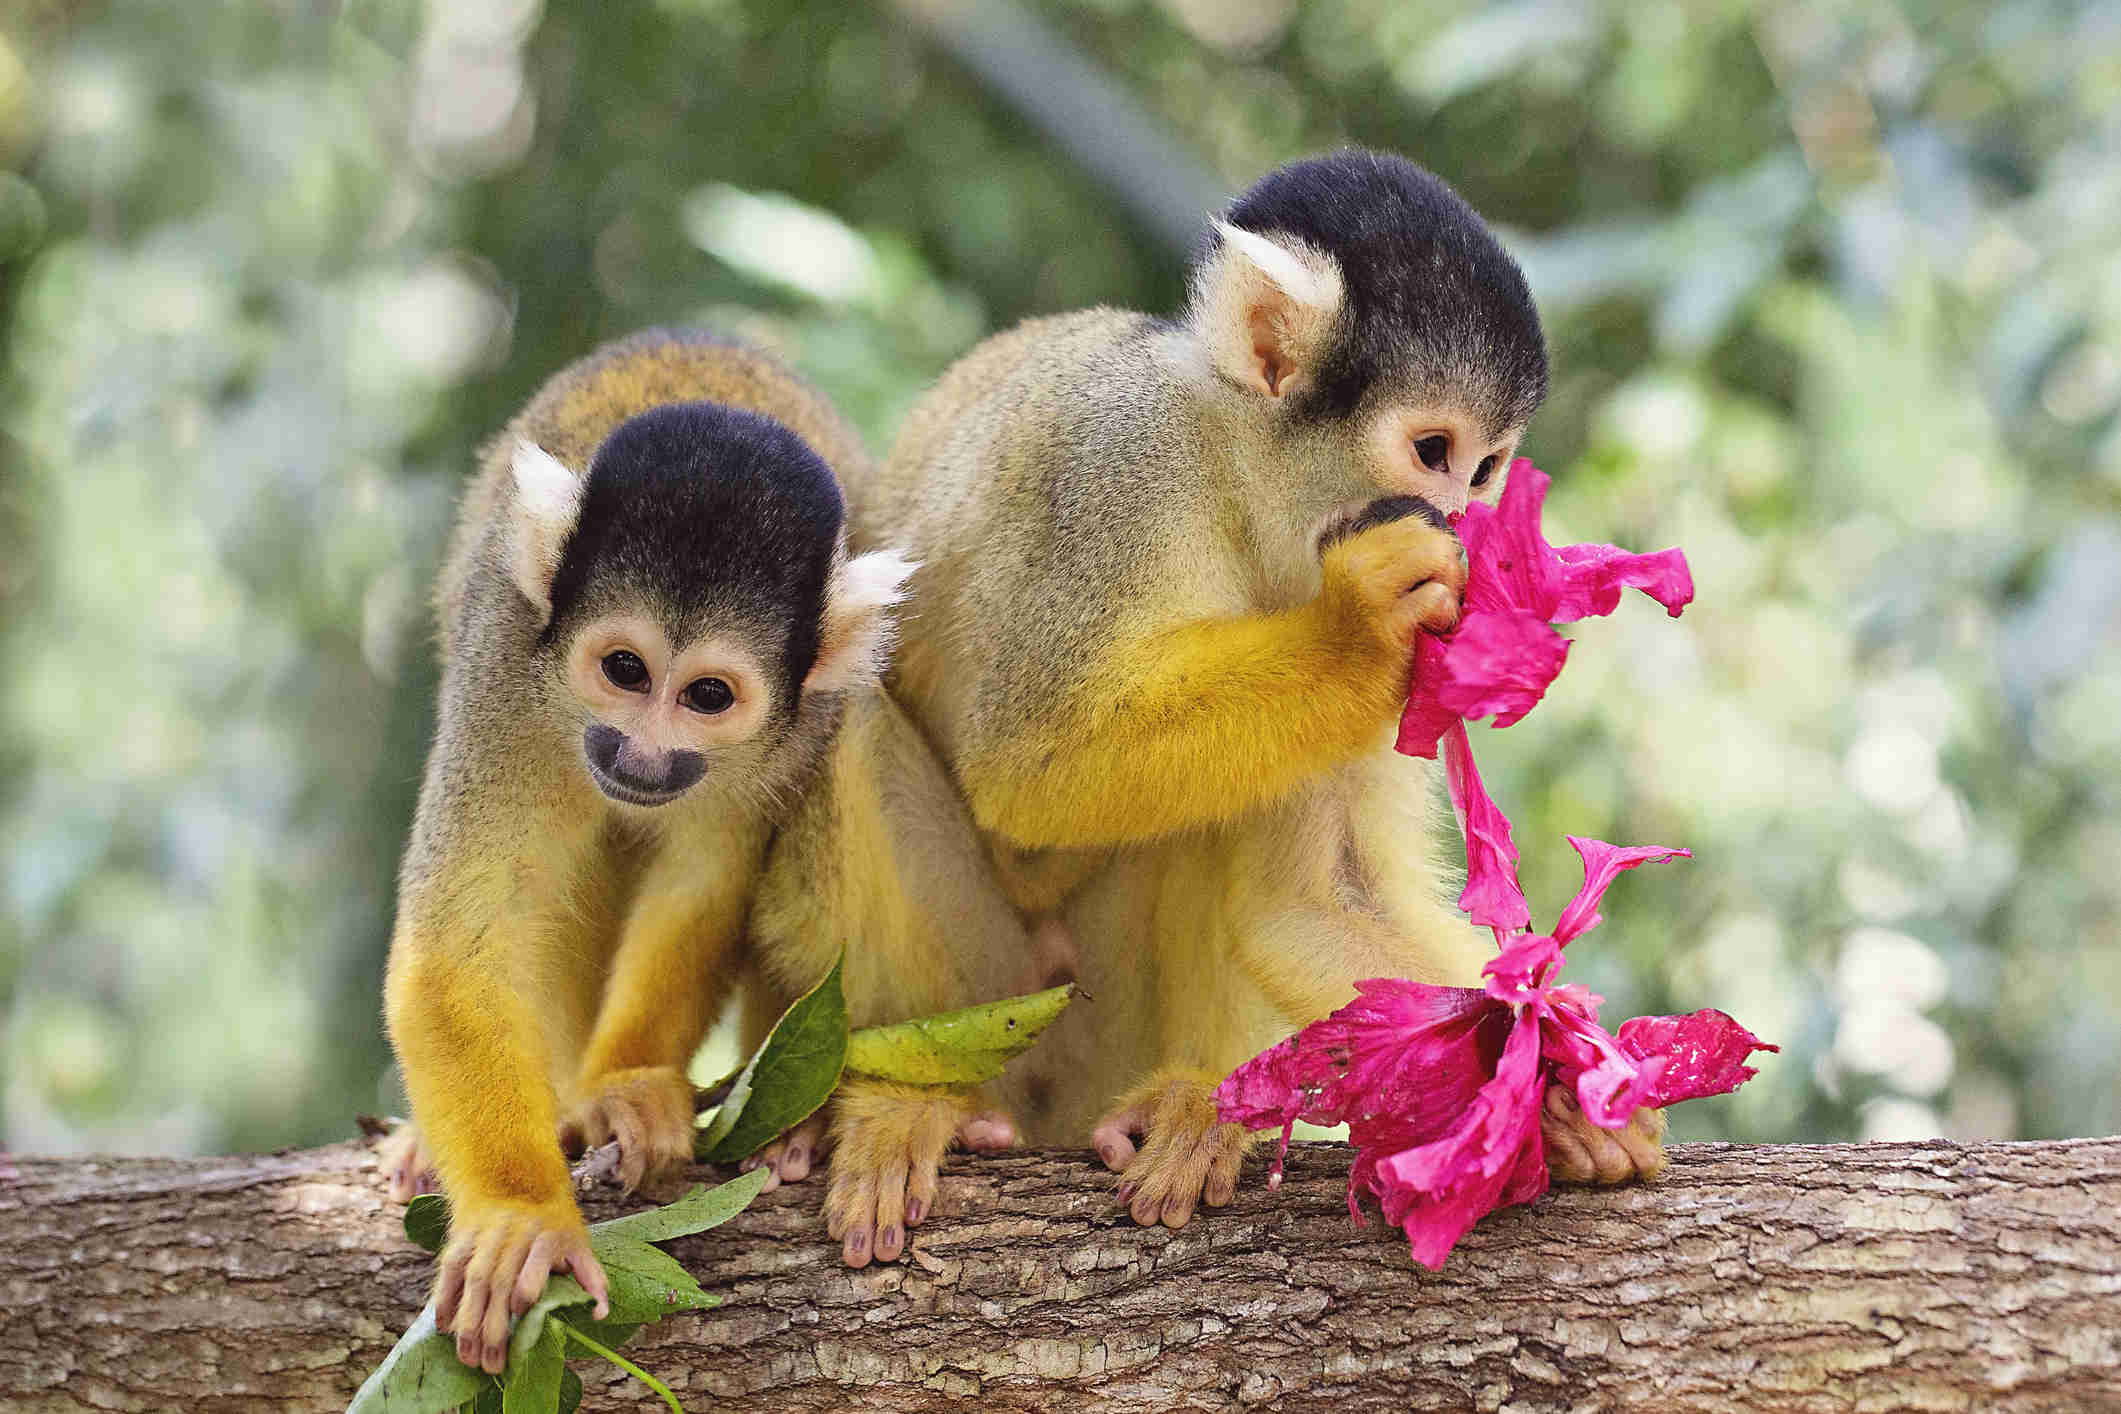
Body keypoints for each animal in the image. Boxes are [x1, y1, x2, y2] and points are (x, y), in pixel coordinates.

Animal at [380, 328, 920, 1373]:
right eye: (625, 670)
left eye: (706, 696)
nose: (639, 755)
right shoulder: (505, 665)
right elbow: (468, 940)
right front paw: (521, 1212)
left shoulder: (798, 730)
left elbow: (703, 885)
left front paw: (628, 1088)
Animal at [840, 150, 1668, 1231]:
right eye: (1433, 452)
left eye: (1485, 469)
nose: (1461, 525)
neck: (1238, 477)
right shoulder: (1126, 466)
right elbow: (1030, 758)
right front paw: (1353, 629)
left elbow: (1311, 898)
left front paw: (1558, 1081)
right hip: (1003, 1000)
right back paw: (912, 1102)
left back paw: (1193, 1102)